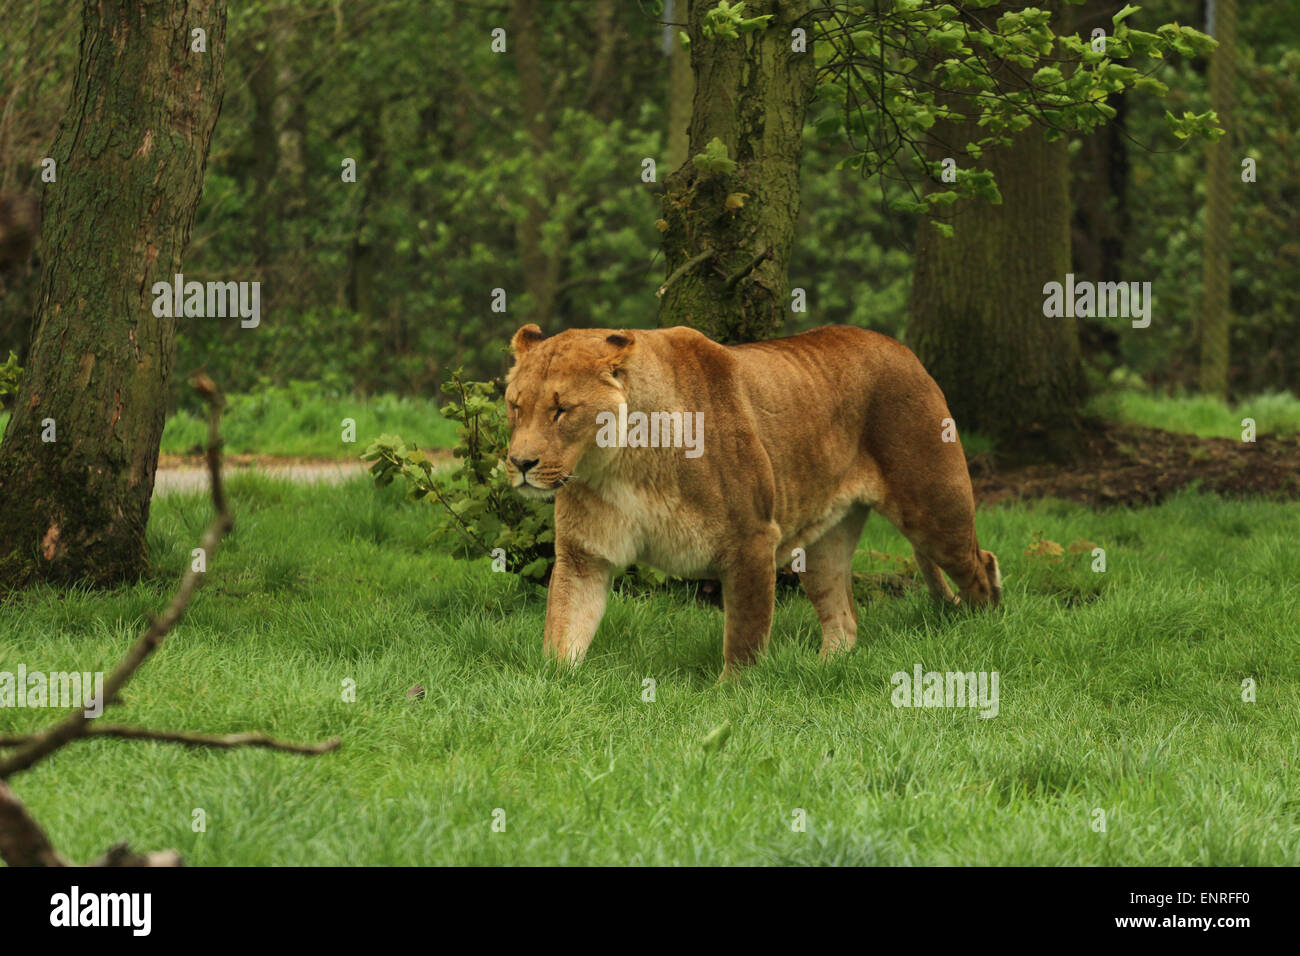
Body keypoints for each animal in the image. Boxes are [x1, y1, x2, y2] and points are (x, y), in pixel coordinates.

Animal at [504, 323, 1000, 677]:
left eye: (561, 410)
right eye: (515, 406)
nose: (520, 462)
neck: (621, 463)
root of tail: (900, 347)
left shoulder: (751, 540)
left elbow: (744, 636)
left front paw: (729, 696)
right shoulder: (584, 555)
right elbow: (564, 627)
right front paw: (552, 687)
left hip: (935, 509)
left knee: (982, 564)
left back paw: (978, 630)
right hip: (823, 546)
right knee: (844, 617)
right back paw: (823, 671)